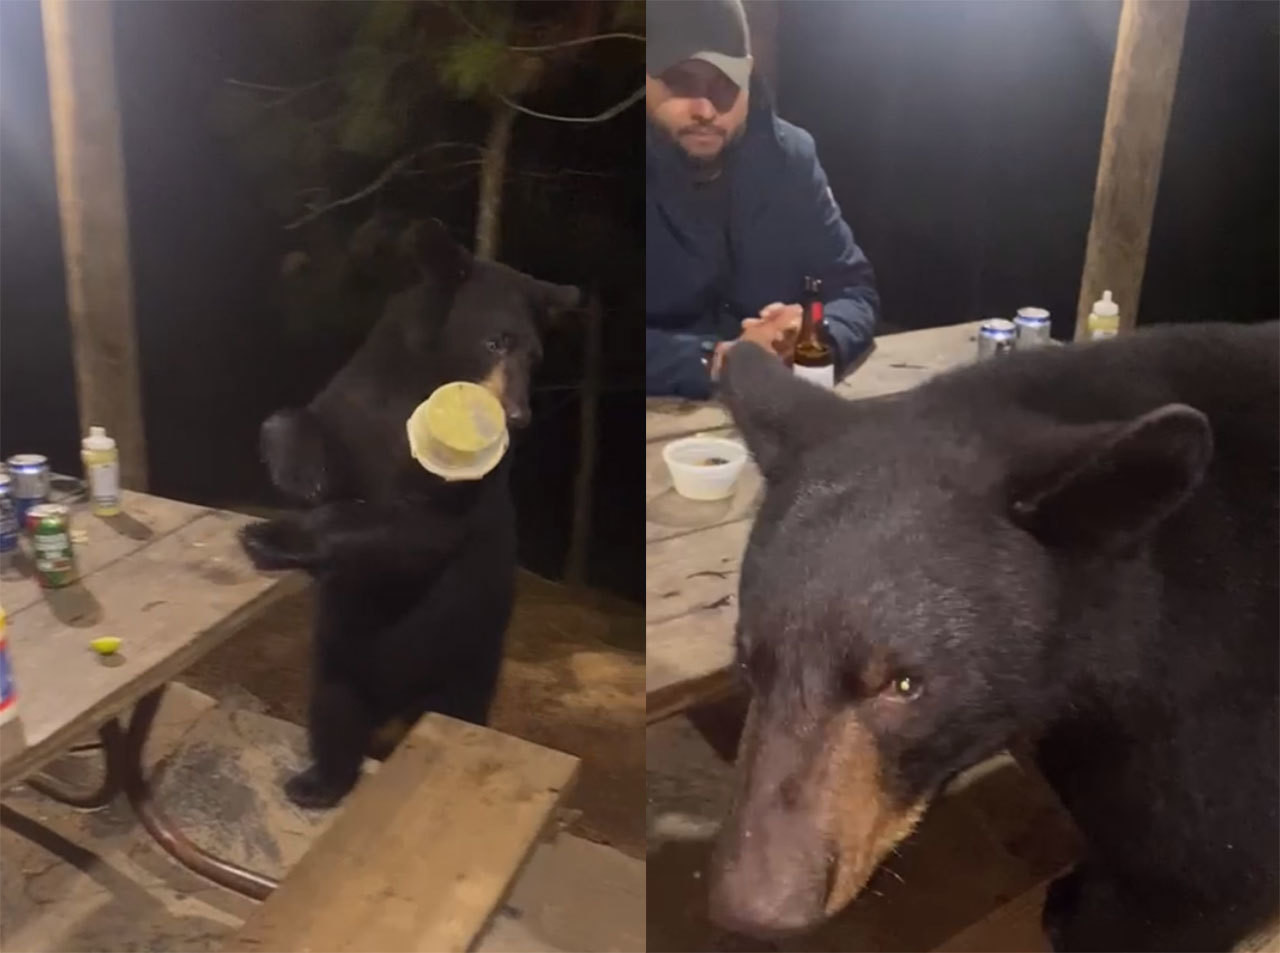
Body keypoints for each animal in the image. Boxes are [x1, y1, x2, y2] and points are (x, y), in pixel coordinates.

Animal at [239, 218, 579, 810]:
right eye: (495, 340)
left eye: (536, 357)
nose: (518, 416)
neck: (422, 386)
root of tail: (393, 713)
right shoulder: (362, 399)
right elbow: (307, 422)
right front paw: (301, 471)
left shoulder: (470, 481)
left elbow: (422, 526)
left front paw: (273, 535)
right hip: (339, 659)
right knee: (333, 710)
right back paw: (317, 782)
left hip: (467, 667)